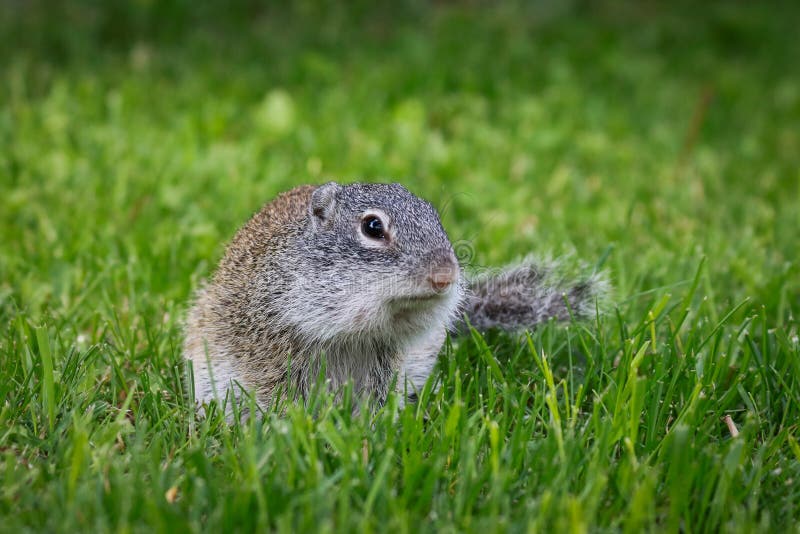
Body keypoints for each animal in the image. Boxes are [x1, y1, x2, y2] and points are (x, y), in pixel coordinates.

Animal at [184, 182, 606, 413]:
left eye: (436, 218)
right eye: (373, 227)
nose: (444, 276)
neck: (353, 330)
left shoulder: (385, 356)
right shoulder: (271, 345)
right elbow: (277, 395)